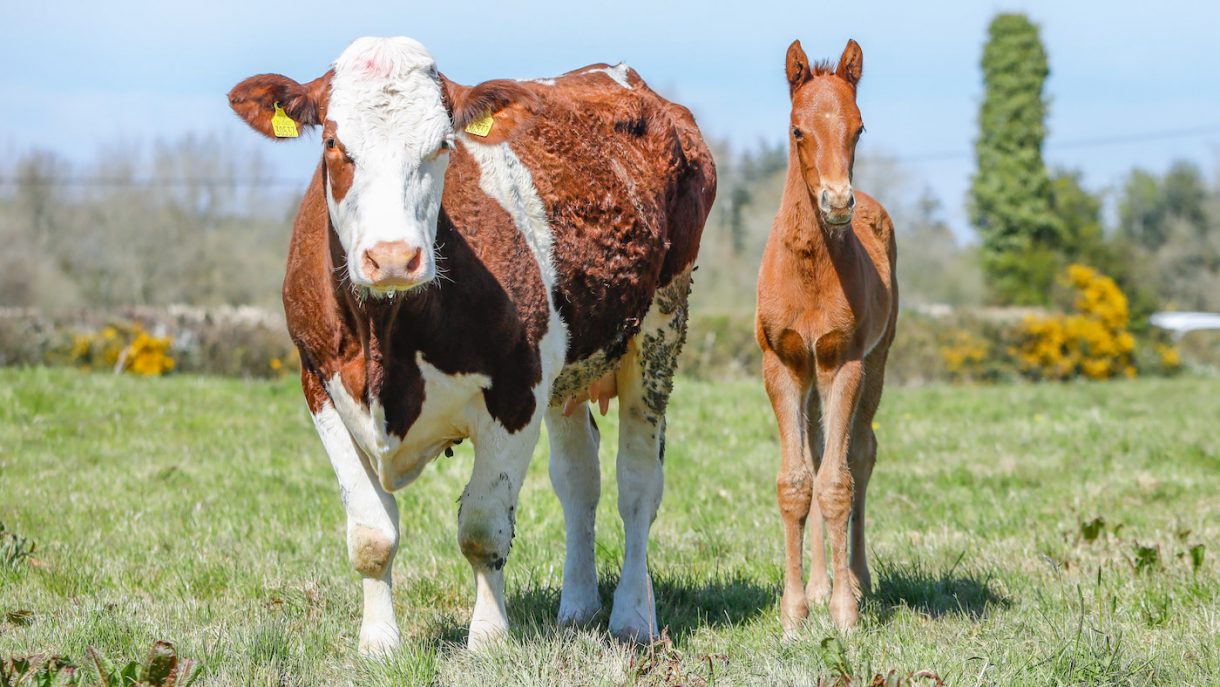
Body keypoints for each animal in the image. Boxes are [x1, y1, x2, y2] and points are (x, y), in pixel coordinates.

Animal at [227, 37, 716, 654]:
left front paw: (487, 638)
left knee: (638, 485)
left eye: (441, 144)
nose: (393, 257)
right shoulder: (319, 386)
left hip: (658, 334)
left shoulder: (517, 390)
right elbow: (371, 535)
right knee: (579, 481)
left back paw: (632, 616)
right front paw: (378, 643)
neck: (385, 336)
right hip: (570, 371)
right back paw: (577, 608)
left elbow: (483, 528)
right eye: (334, 142)